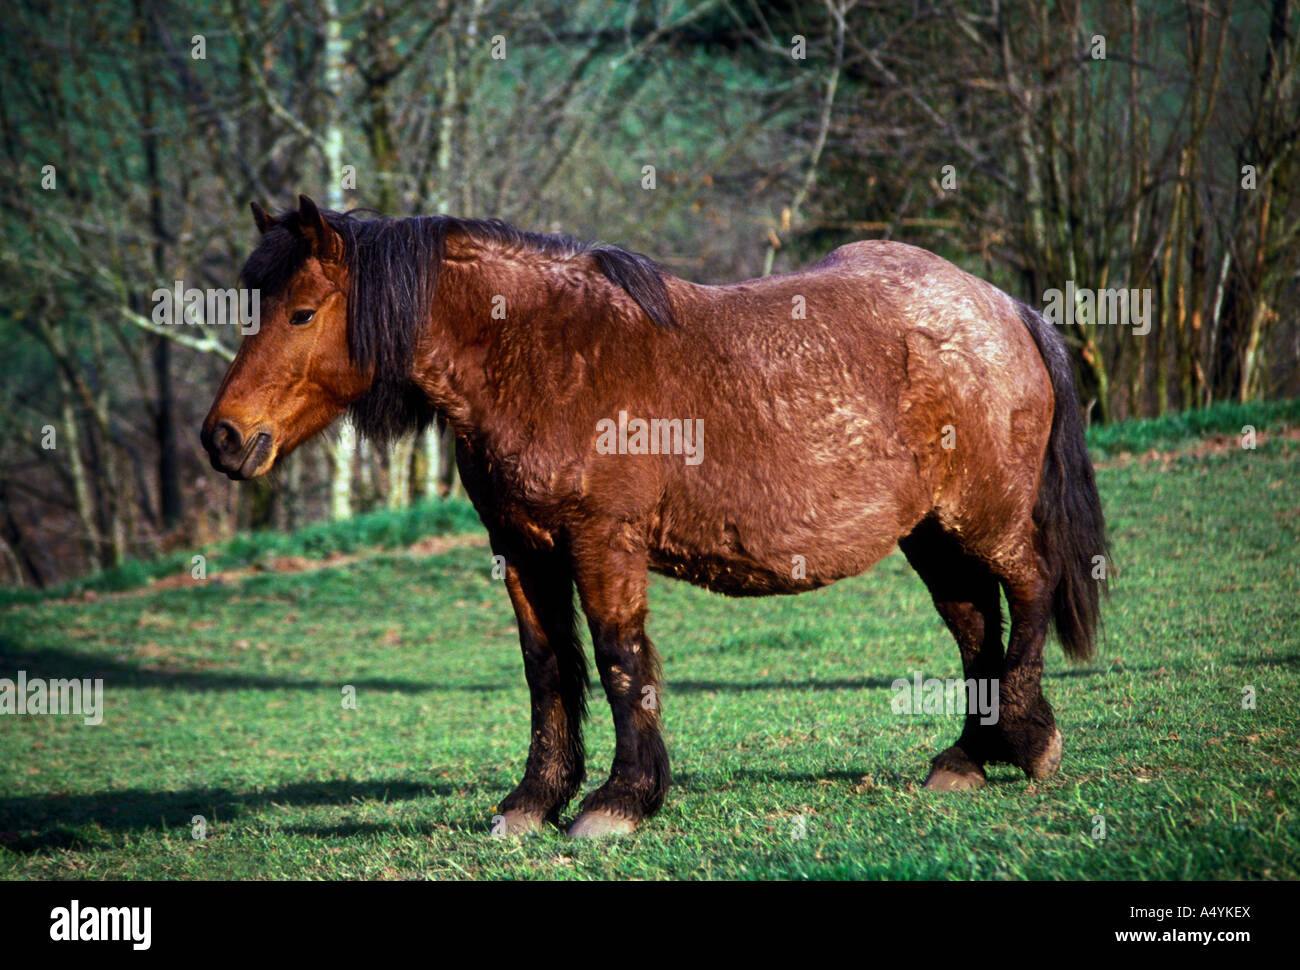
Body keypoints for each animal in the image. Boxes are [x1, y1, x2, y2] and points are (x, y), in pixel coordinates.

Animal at [202, 194, 1108, 838]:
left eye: (302, 311)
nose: (224, 438)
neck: (543, 355)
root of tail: (1004, 308)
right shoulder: (523, 549)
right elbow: (548, 668)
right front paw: (533, 802)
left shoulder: (604, 540)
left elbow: (618, 657)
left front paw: (620, 802)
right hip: (931, 534)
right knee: (972, 621)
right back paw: (969, 755)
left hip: (984, 519)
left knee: (1028, 592)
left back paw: (1029, 740)